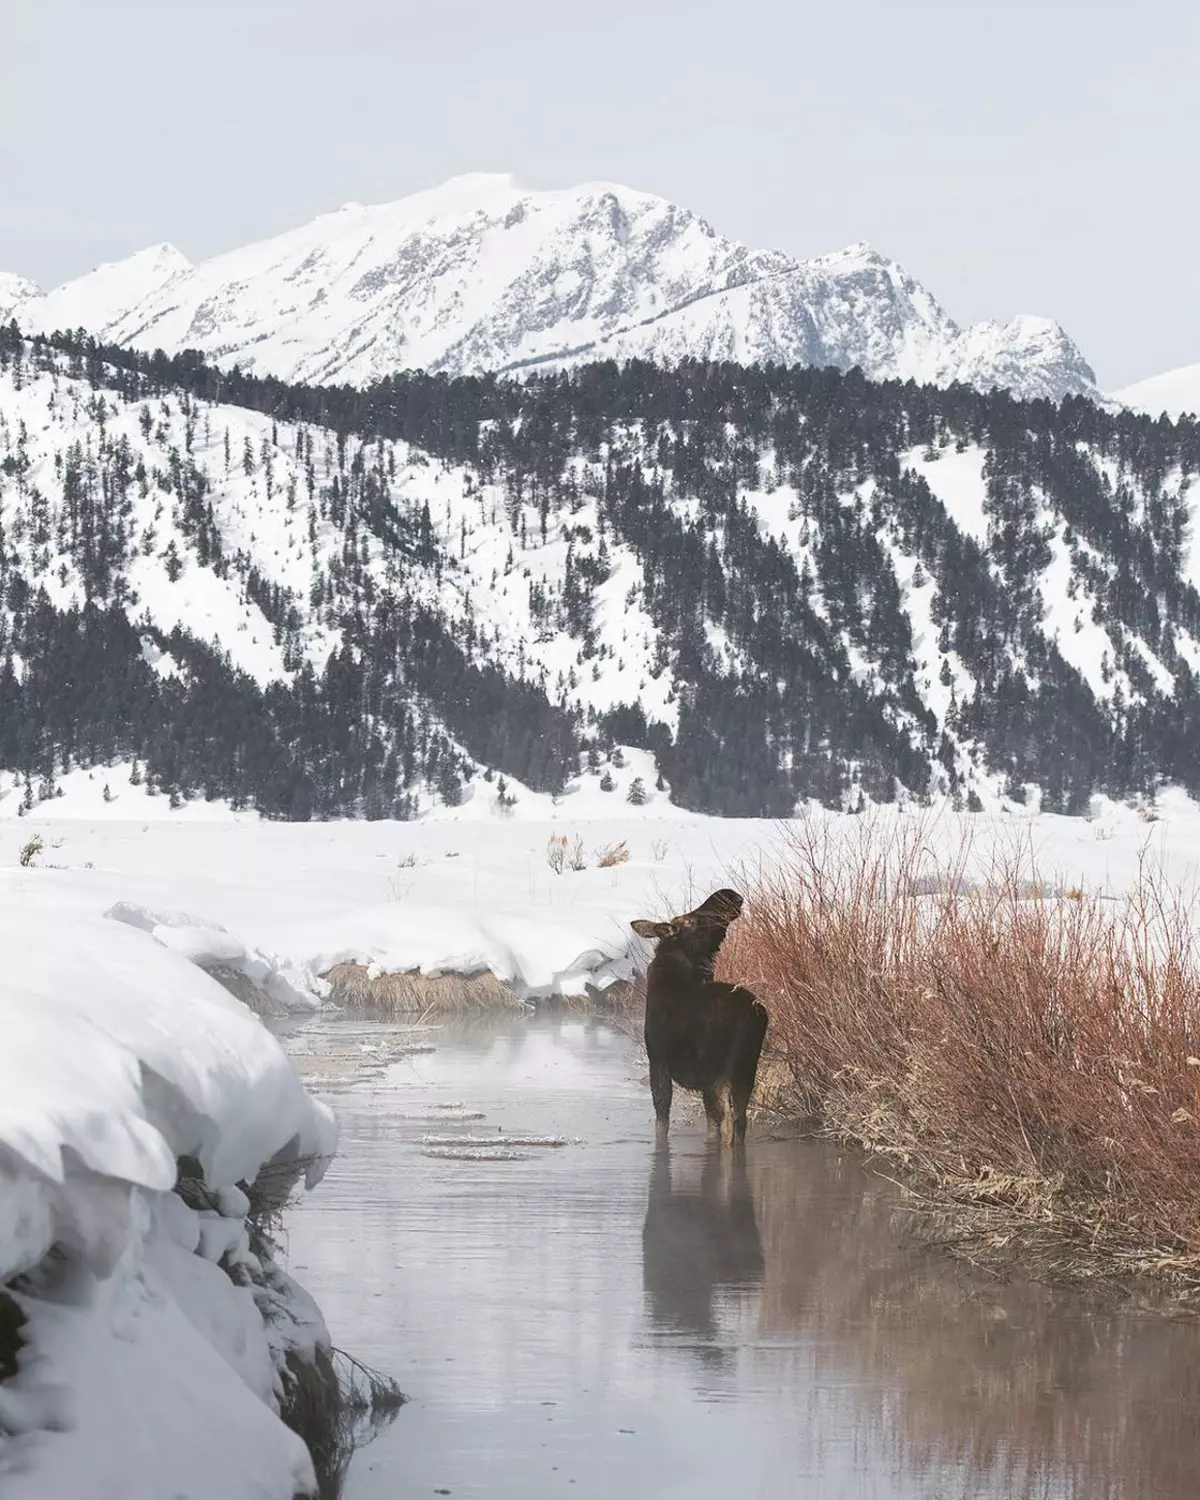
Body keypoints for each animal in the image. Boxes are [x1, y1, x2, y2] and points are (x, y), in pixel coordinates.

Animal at [627, 888, 768, 1146]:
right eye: (691, 921)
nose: (730, 896)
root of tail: (754, 1017)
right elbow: (709, 1127)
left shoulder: (659, 1063)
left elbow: (661, 1122)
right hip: (746, 1071)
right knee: (740, 1121)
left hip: (720, 1072)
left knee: (728, 1124)